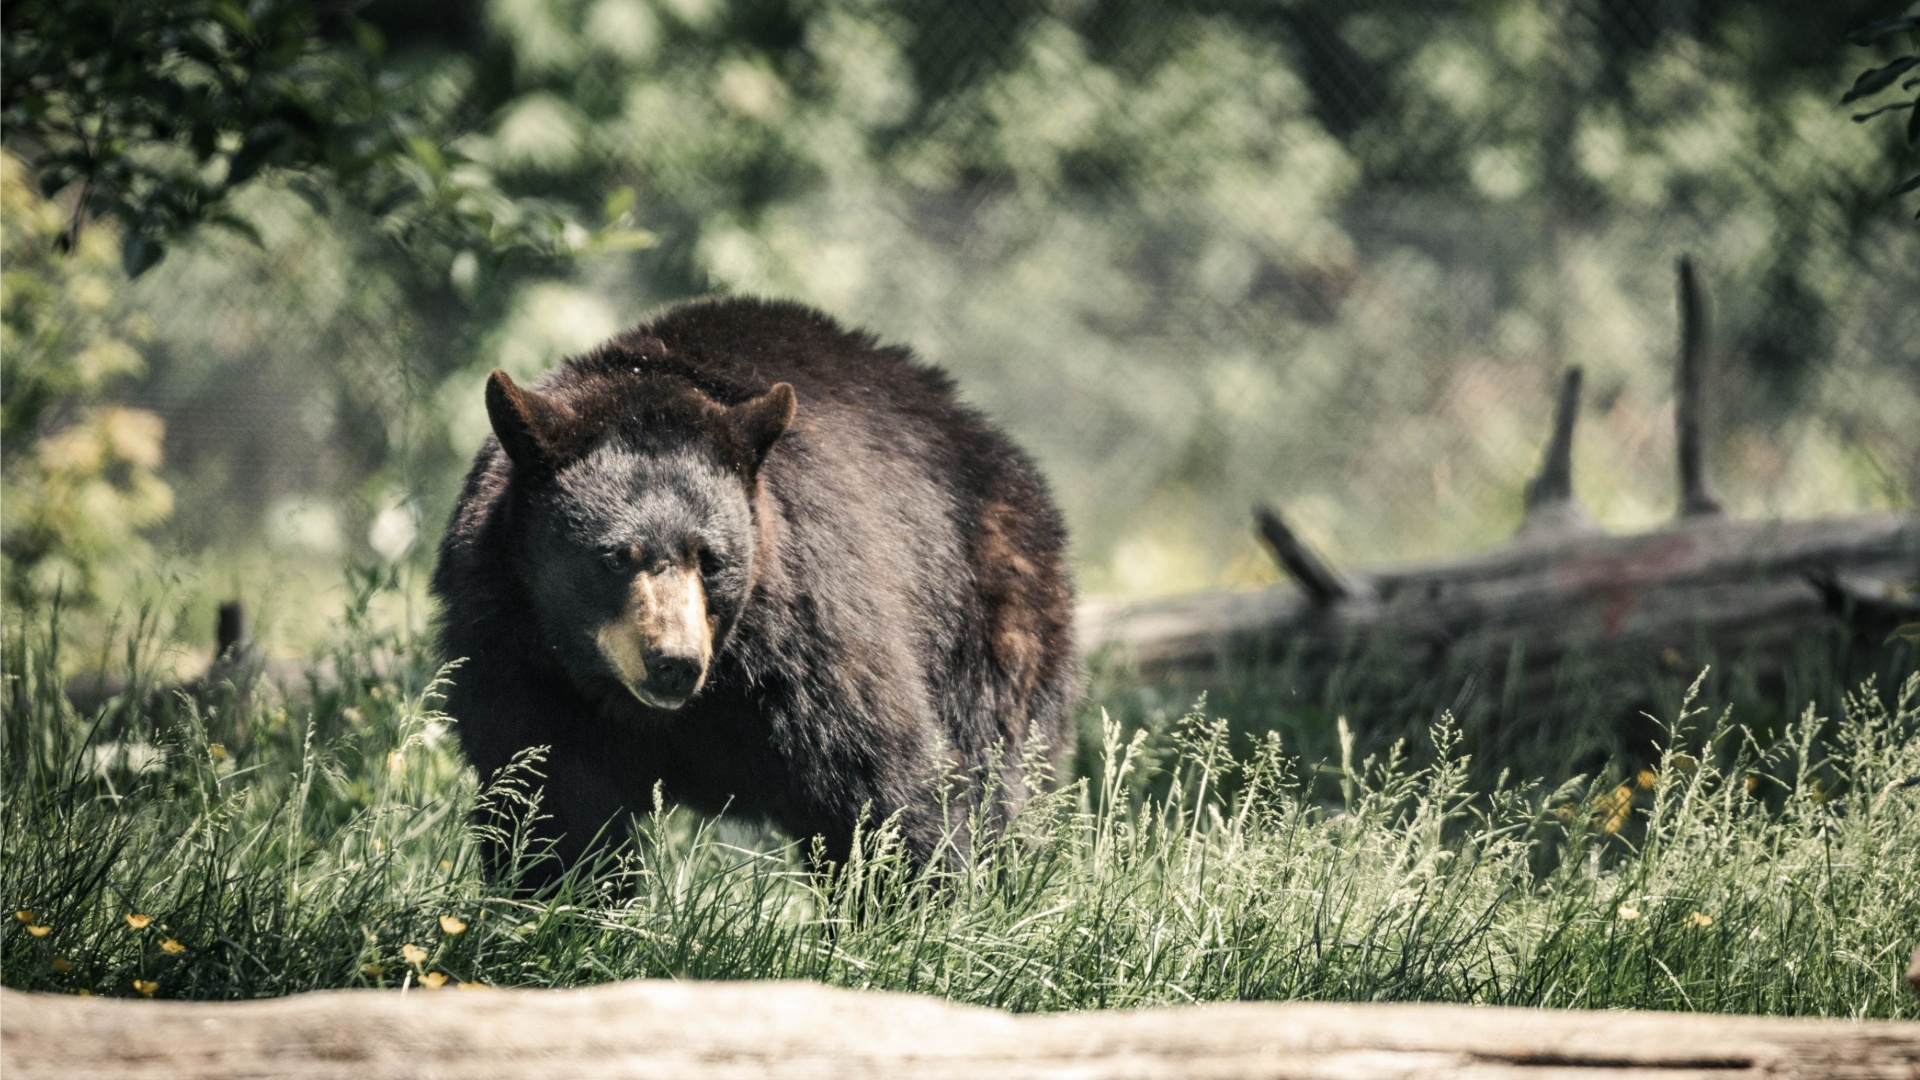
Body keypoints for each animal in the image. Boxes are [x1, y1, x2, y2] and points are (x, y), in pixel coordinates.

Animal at [431, 297, 1079, 888]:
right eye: (614, 557)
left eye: (711, 559)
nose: (673, 663)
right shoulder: (515, 648)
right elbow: (550, 802)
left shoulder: (805, 641)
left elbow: (882, 784)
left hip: (990, 619)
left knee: (996, 768)